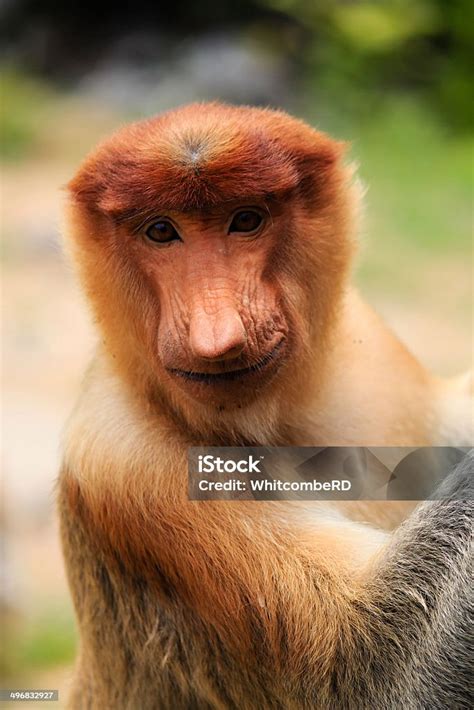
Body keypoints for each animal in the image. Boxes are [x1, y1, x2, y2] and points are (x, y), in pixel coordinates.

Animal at [58, 103, 473, 709]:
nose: (218, 338)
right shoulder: (128, 467)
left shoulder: (374, 352)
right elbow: (378, 663)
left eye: (246, 219)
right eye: (161, 230)